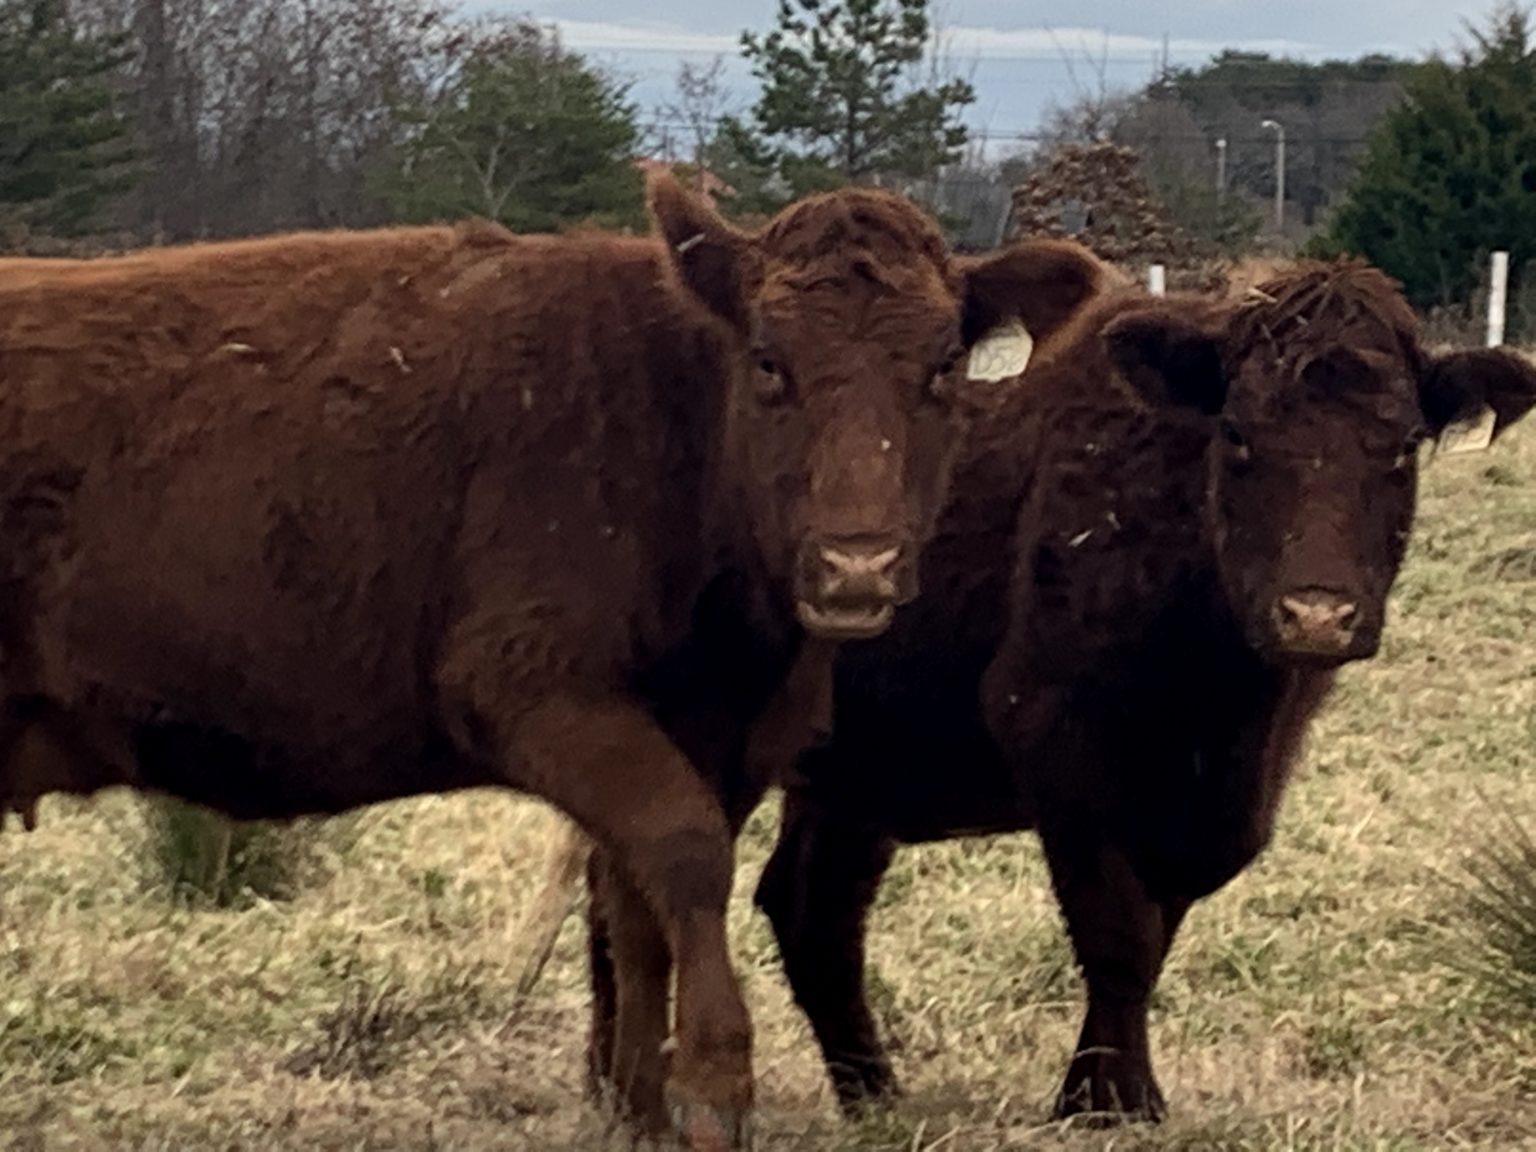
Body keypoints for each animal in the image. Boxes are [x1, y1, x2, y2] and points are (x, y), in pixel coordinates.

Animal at [0, 172, 1107, 1147]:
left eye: (942, 368)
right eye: (768, 362)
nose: (856, 562)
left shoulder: (719, 734)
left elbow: (638, 904)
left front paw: (642, 1106)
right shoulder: (536, 694)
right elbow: (684, 857)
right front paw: (713, 1083)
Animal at [742, 262, 1536, 1124]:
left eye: (1402, 447)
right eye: (1237, 434)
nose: (1317, 615)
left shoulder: (1219, 801)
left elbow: (1156, 931)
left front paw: (1113, 1090)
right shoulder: (1064, 752)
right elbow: (1118, 936)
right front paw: (1107, 1100)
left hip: (857, 775)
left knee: (812, 907)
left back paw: (878, 1097)